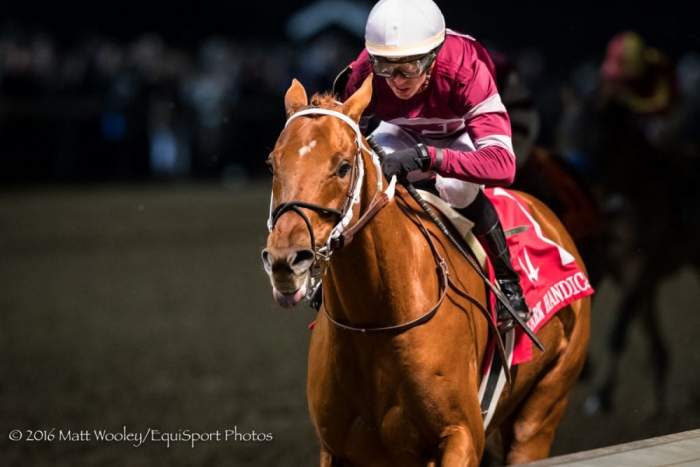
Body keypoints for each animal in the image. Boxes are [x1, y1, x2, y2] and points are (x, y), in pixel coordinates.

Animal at [262, 75, 591, 466]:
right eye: (272, 163)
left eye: (343, 167)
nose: (286, 260)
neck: (375, 321)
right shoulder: (336, 450)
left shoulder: (461, 436)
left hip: (540, 413)